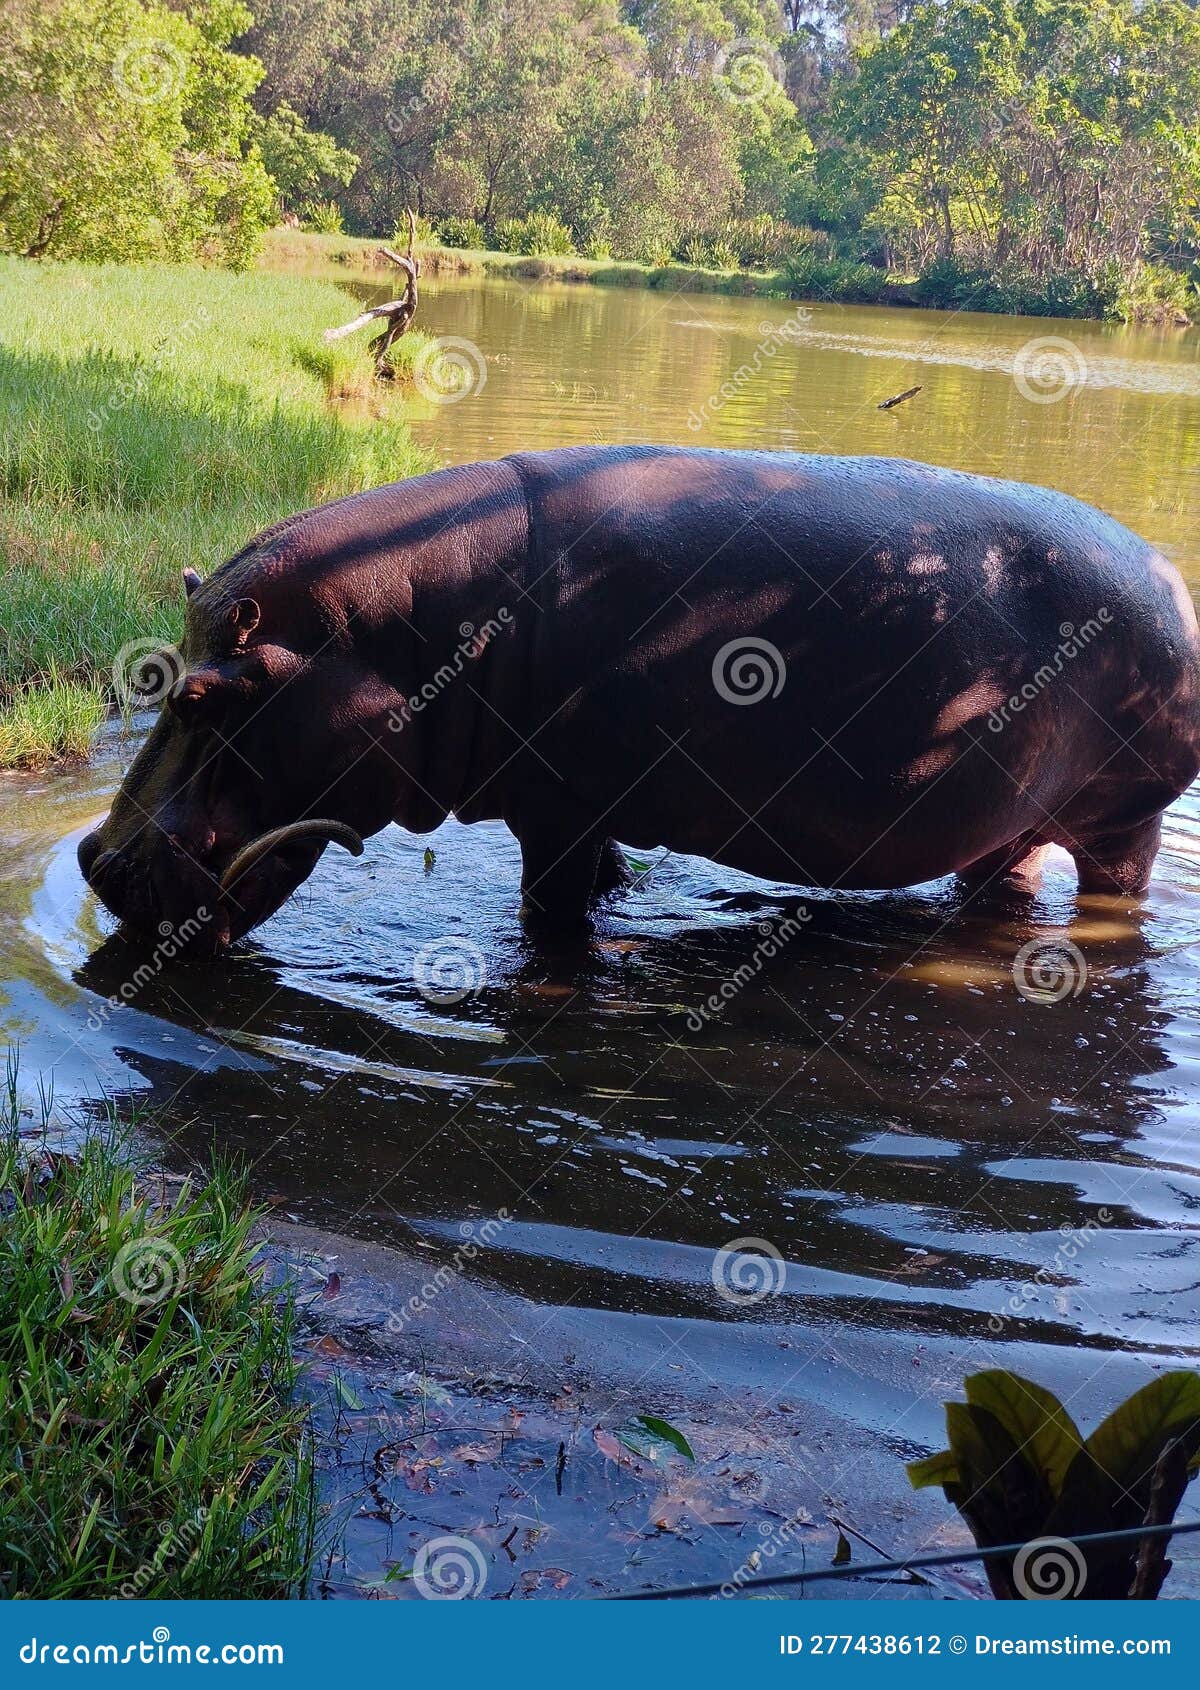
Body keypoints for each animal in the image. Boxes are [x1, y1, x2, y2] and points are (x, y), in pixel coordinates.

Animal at [78, 447, 1200, 951]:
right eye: (159, 677)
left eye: (215, 695)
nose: (99, 866)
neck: (409, 636)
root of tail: (1173, 581)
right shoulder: (580, 810)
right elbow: (607, 883)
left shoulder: (557, 811)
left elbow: (550, 911)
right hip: (1009, 826)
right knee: (1004, 880)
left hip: (1124, 819)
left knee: (1116, 886)